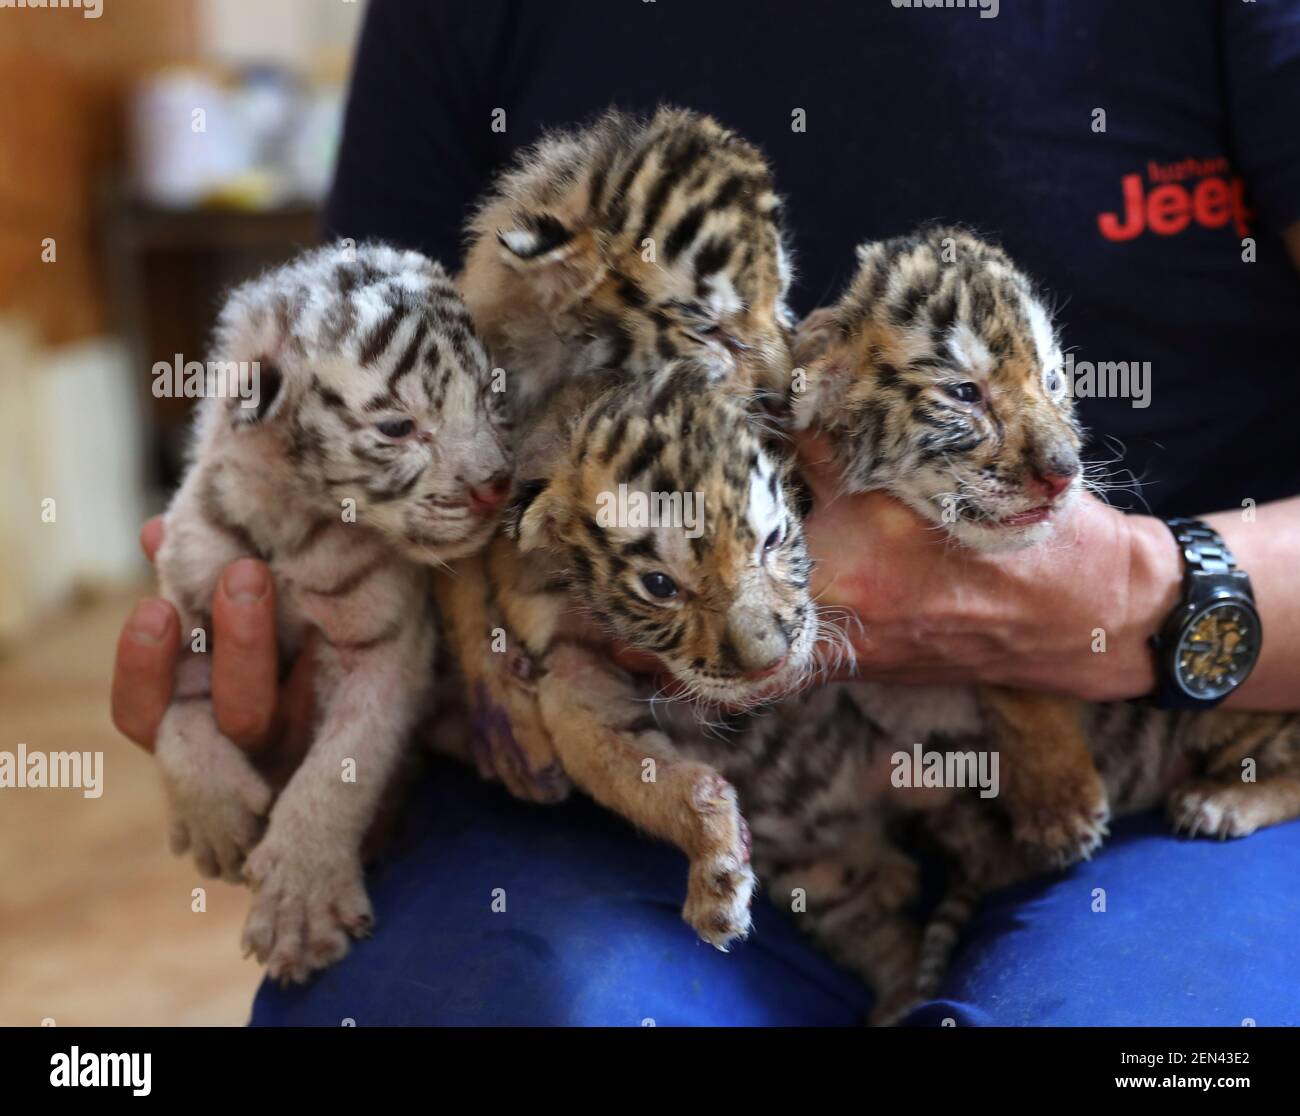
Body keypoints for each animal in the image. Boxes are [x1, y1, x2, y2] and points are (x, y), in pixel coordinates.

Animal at [153, 241, 511, 983]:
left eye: (494, 401)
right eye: (398, 427)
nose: (498, 485)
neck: (292, 520)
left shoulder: (382, 645)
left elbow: (343, 766)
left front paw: (301, 904)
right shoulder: (186, 586)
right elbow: (173, 702)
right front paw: (212, 819)